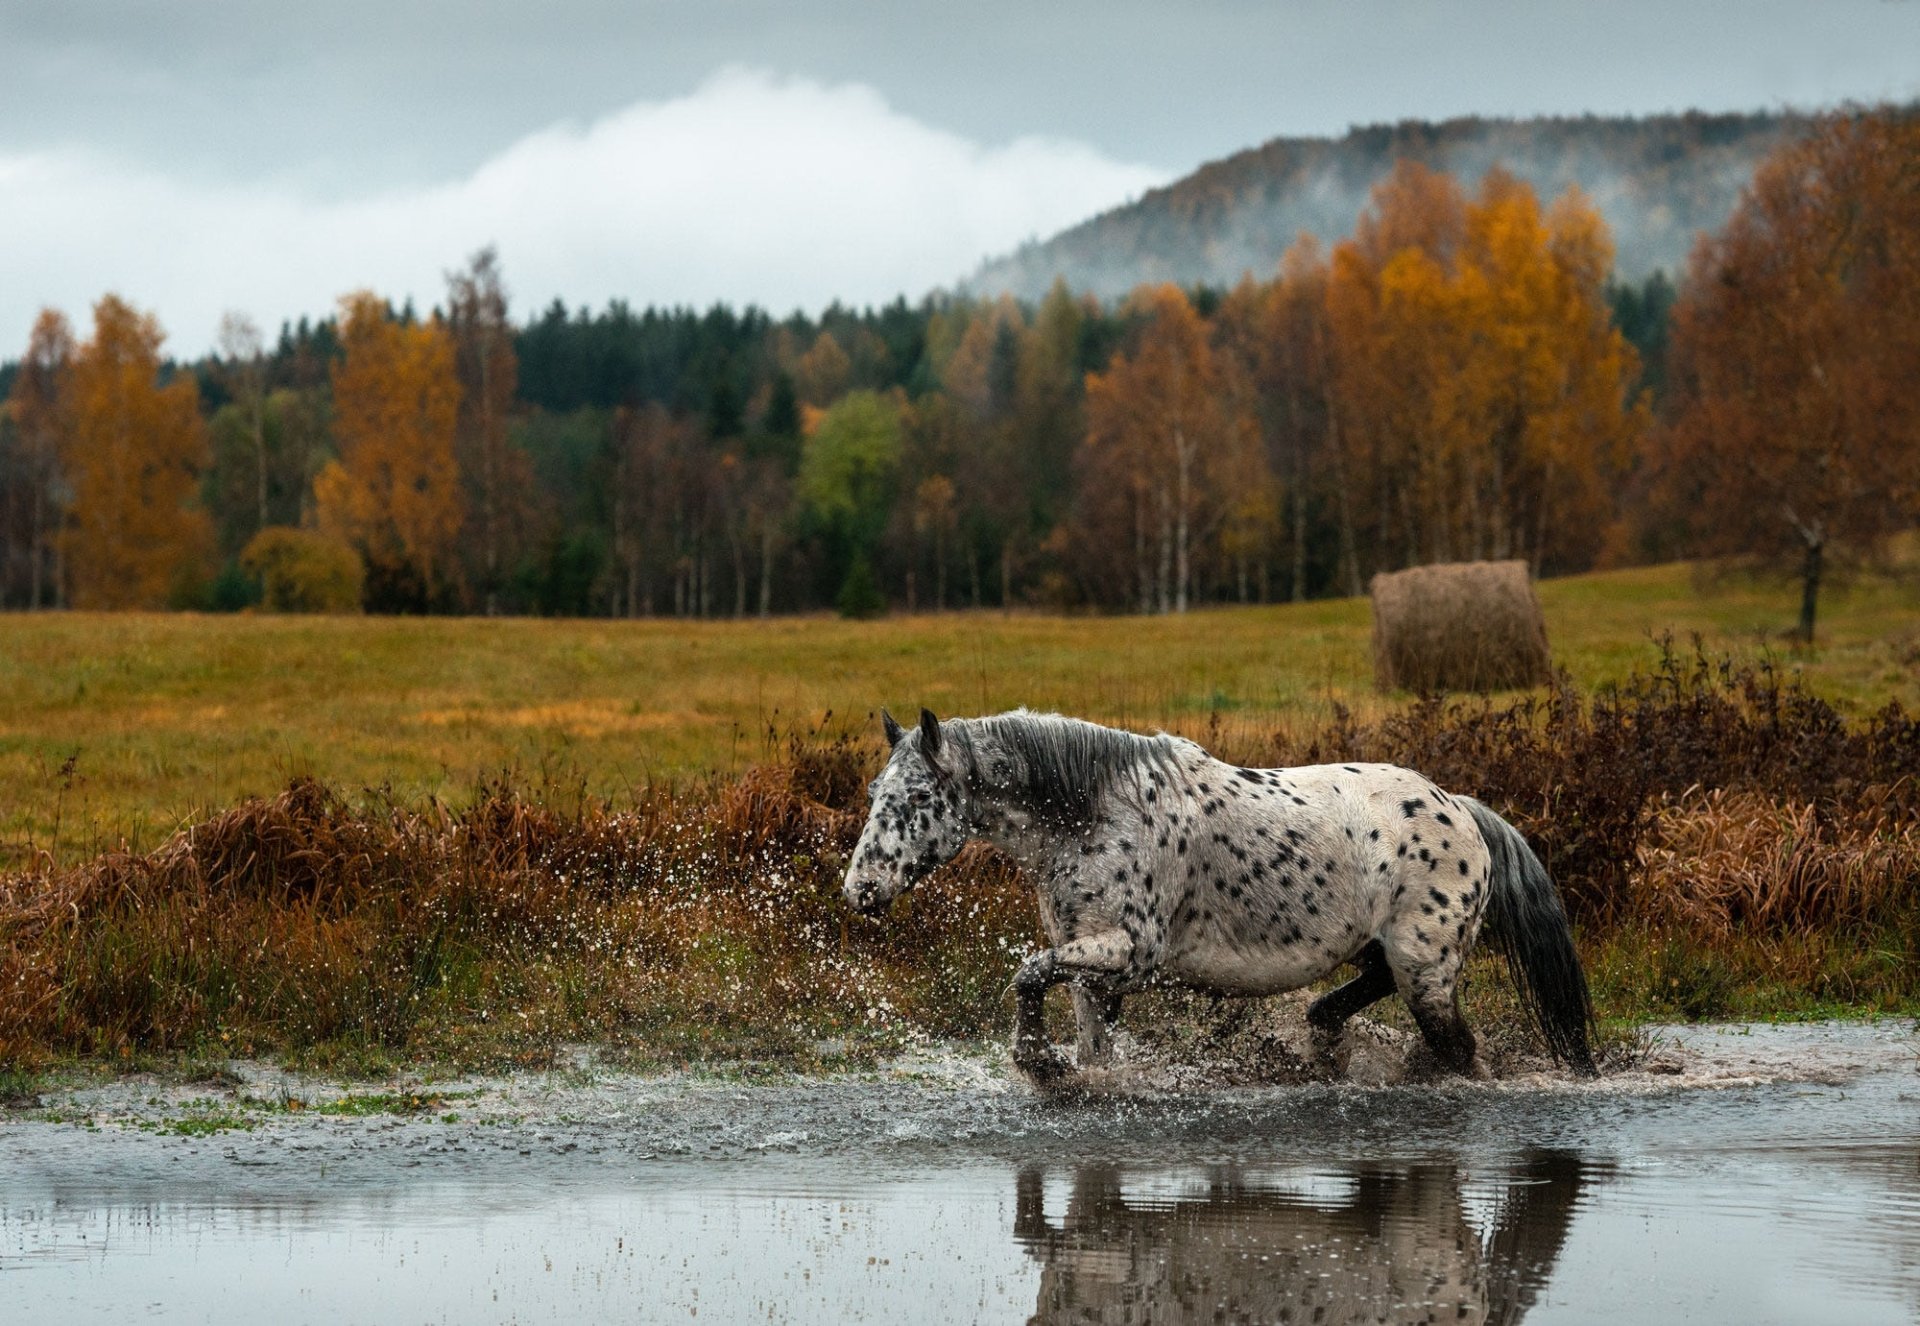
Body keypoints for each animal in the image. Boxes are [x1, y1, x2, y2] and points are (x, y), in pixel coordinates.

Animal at [841, 708, 1595, 1081]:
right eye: (875, 792)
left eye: (917, 798)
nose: (859, 891)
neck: (1094, 813)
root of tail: (1461, 809)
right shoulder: (1091, 967)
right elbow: (1083, 1037)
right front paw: (1055, 1069)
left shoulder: (1130, 953)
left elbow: (1027, 973)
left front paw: (1034, 1060)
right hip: (1387, 953)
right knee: (1367, 992)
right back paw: (1323, 1037)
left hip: (1427, 970)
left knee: (1459, 1053)